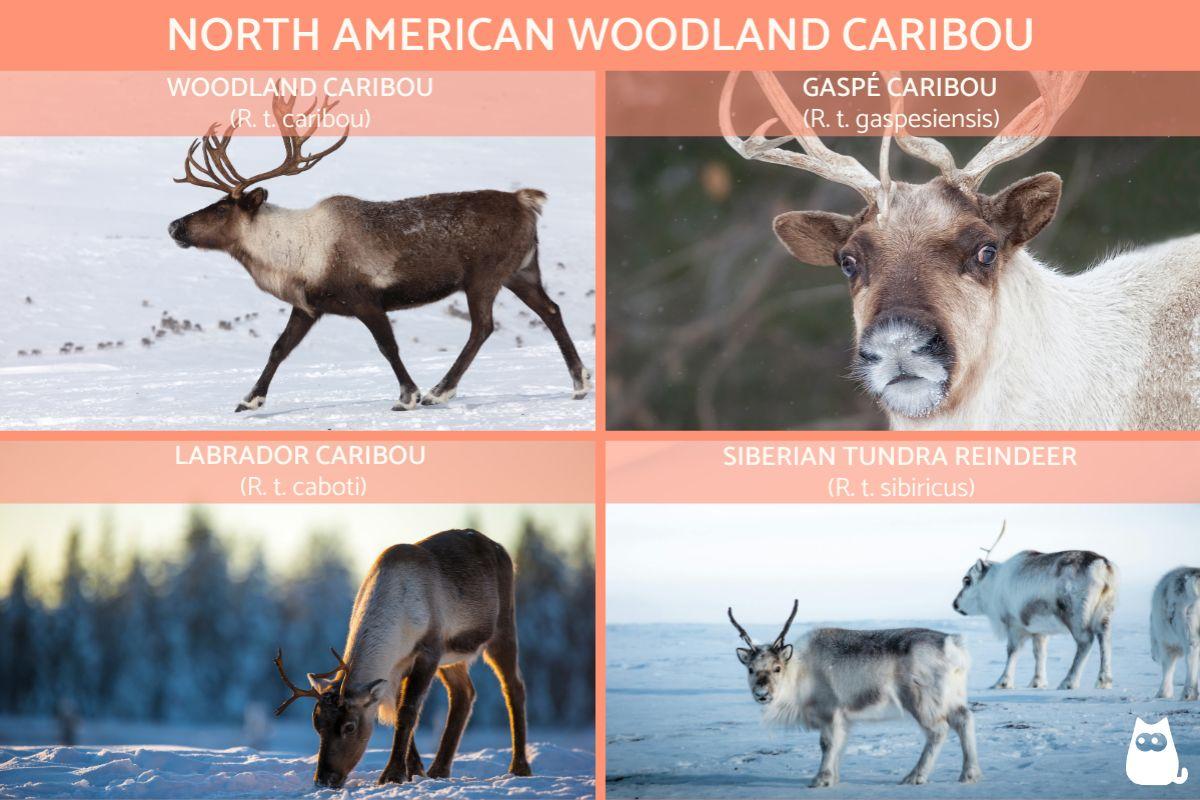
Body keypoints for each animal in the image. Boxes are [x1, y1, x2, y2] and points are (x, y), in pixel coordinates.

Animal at [168, 92, 591, 413]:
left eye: (221, 208)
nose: (174, 226)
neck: (290, 255)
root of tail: (525, 201)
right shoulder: (309, 307)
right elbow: (278, 349)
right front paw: (249, 400)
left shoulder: (366, 299)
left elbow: (388, 347)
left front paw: (408, 396)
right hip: (523, 270)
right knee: (551, 310)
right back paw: (580, 382)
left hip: (484, 277)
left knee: (483, 327)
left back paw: (439, 391)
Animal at [272, 529, 531, 789]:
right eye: (317, 724)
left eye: (349, 726)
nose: (324, 780)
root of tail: (500, 548)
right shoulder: (397, 668)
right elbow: (399, 712)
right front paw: (414, 771)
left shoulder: (429, 651)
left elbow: (408, 711)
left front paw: (392, 774)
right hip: (452, 658)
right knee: (464, 693)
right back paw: (439, 770)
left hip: (502, 629)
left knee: (514, 687)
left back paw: (520, 767)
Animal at [729, 600, 982, 788]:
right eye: (750, 669)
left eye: (777, 668)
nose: (762, 693)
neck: (799, 672)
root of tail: (953, 645)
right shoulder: (843, 719)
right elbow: (840, 745)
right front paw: (834, 778)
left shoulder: (830, 712)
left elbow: (827, 744)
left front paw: (821, 779)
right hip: (953, 697)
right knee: (964, 719)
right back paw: (969, 774)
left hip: (922, 700)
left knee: (938, 731)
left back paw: (915, 776)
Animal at [952, 523, 1118, 691]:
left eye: (967, 580)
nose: (955, 604)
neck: (993, 586)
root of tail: (1102, 566)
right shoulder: (1039, 630)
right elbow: (1039, 653)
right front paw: (1037, 682)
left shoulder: (1014, 624)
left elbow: (1012, 652)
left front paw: (1002, 682)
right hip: (1105, 610)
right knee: (1105, 637)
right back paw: (1104, 681)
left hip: (1076, 614)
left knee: (1085, 641)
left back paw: (1068, 682)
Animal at [1150, 566, 1200, 700]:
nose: (1153, 657)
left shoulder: (1166, 644)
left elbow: (1168, 666)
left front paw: (1162, 693)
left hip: (1188, 631)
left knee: (1191, 657)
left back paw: (1188, 694)